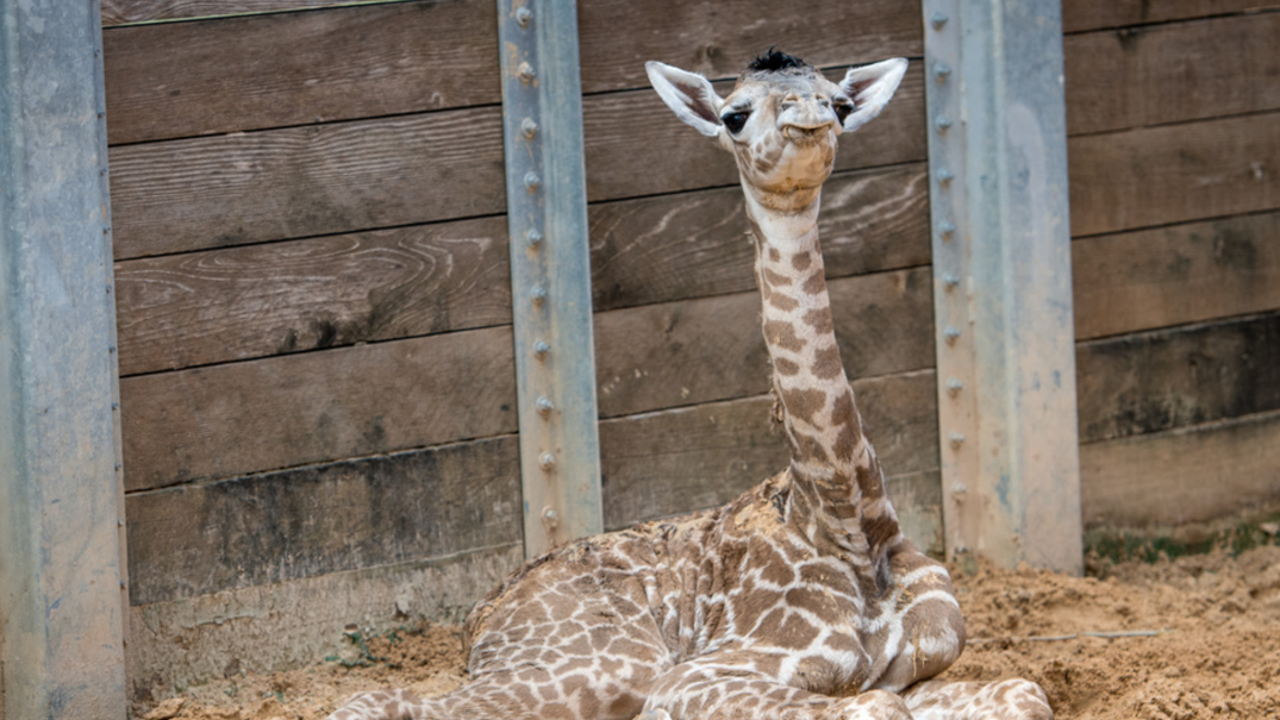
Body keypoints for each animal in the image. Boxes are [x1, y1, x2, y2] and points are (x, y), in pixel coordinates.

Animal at [325, 50, 1054, 720]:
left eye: (839, 103)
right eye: (734, 115)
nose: (812, 119)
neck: (845, 517)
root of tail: (477, 619)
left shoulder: (919, 670)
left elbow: (1024, 691)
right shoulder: (701, 675)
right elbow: (873, 707)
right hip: (605, 664)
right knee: (370, 697)